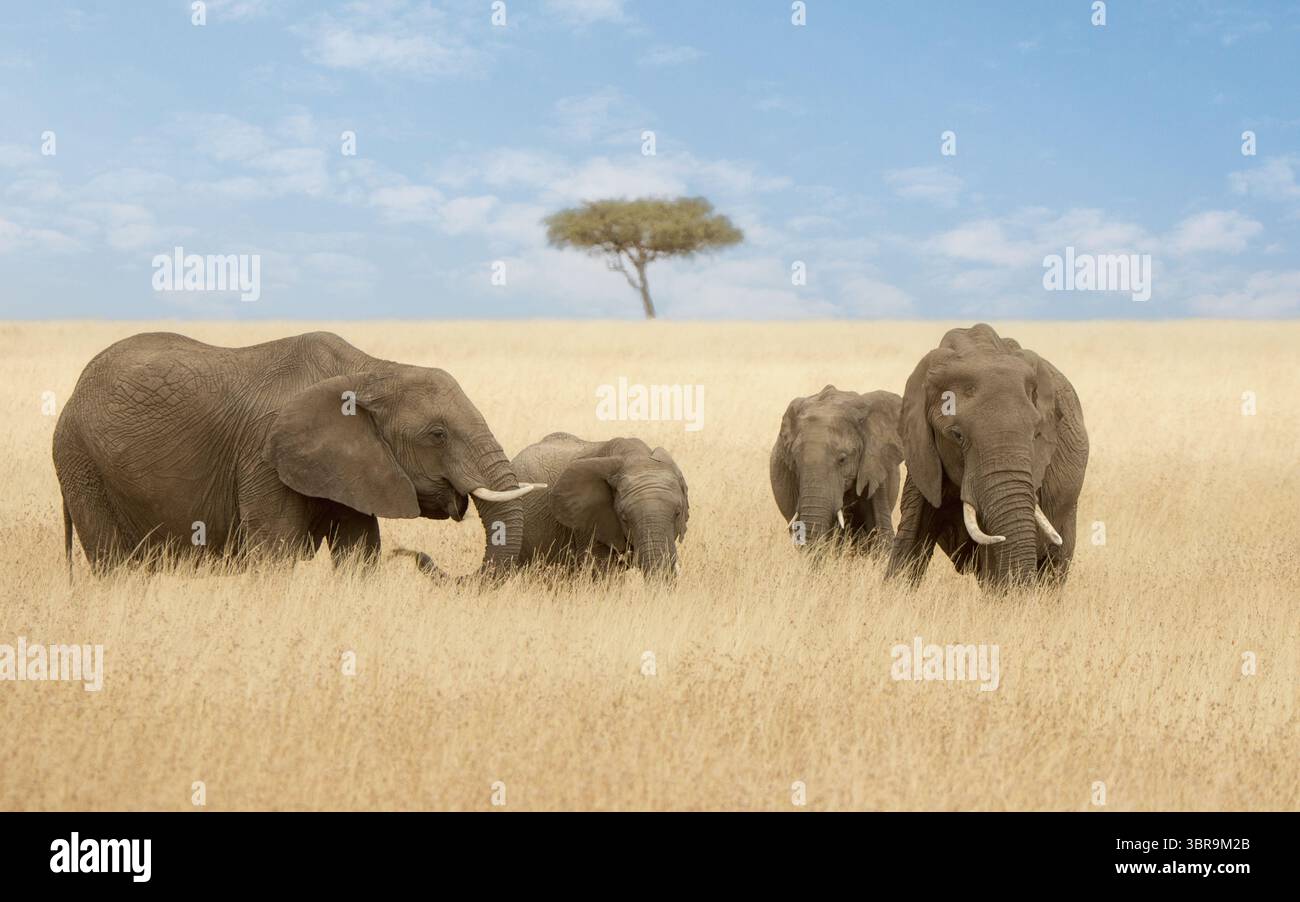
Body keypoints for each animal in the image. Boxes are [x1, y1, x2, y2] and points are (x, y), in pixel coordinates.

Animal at [52, 331, 540, 573]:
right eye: (437, 435)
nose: (413, 557)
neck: (371, 371)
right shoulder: (264, 455)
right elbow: (274, 550)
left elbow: (359, 550)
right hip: (80, 464)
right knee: (111, 560)